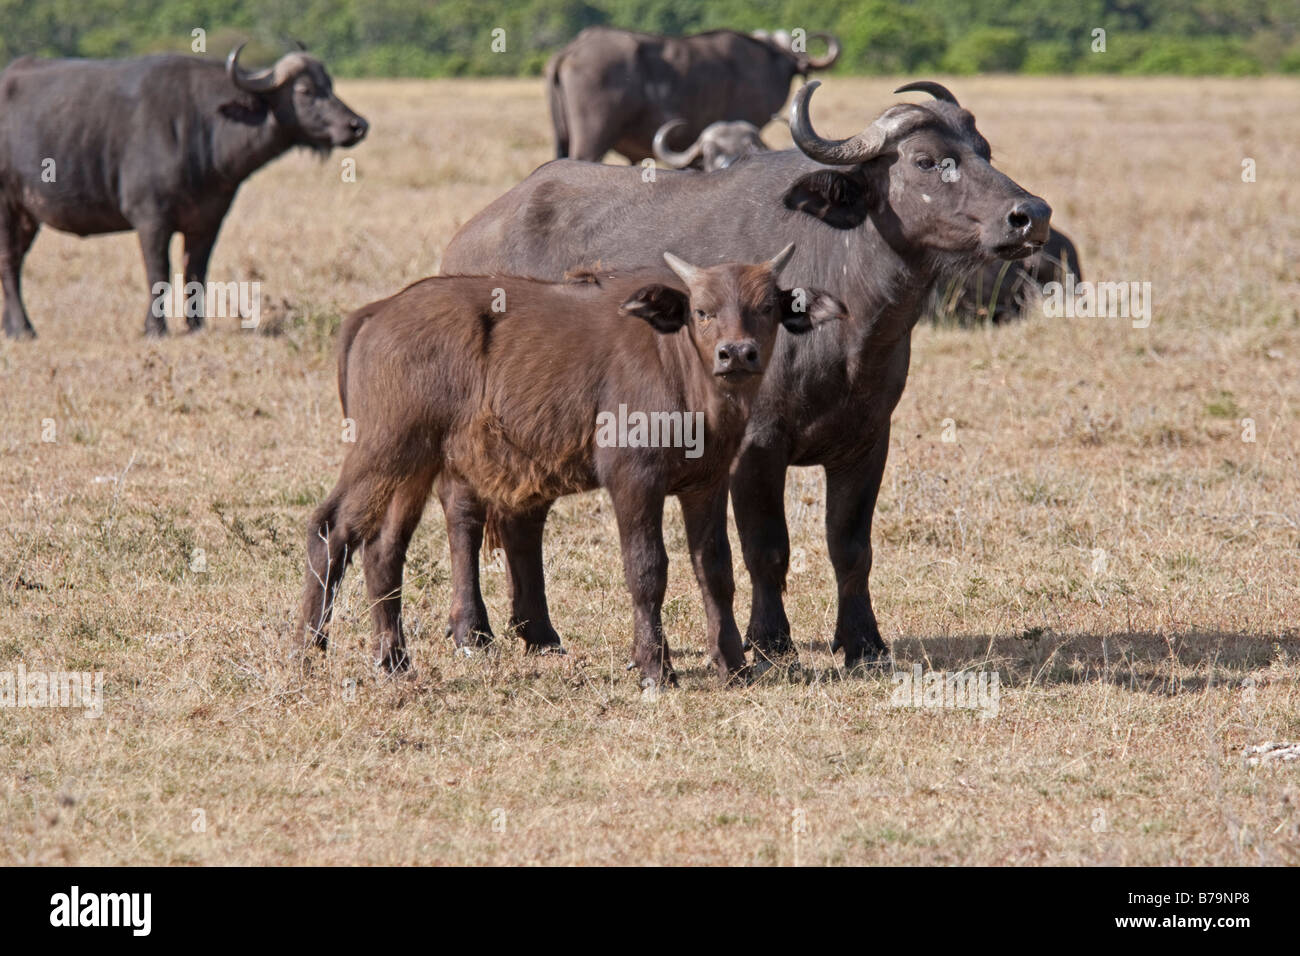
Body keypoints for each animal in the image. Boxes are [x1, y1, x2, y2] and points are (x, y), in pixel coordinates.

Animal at [0, 45, 367, 339]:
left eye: (330, 86)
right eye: (305, 90)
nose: (357, 125)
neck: (202, 128)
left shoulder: (207, 222)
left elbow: (196, 272)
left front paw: (196, 326)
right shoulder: (151, 220)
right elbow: (158, 272)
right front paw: (155, 329)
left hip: (28, 216)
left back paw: (9, 326)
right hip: (7, 206)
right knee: (9, 263)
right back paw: (24, 329)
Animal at [296, 250, 846, 686]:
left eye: (766, 308)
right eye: (702, 312)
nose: (737, 354)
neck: (684, 375)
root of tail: (376, 312)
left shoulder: (706, 485)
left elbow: (715, 570)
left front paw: (732, 663)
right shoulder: (633, 480)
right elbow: (647, 570)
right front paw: (655, 667)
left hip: (416, 465)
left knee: (383, 549)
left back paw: (394, 661)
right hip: (383, 449)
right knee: (330, 527)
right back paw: (308, 650)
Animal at [442, 80, 1052, 672]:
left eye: (984, 150)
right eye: (927, 160)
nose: (1031, 213)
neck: (847, 312)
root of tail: (464, 243)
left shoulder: (868, 440)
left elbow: (851, 545)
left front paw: (864, 642)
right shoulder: (756, 446)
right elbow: (767, 547)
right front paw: (770, 640)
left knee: (525, 518)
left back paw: (540, 634)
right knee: (464, 514)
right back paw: (473, 631)